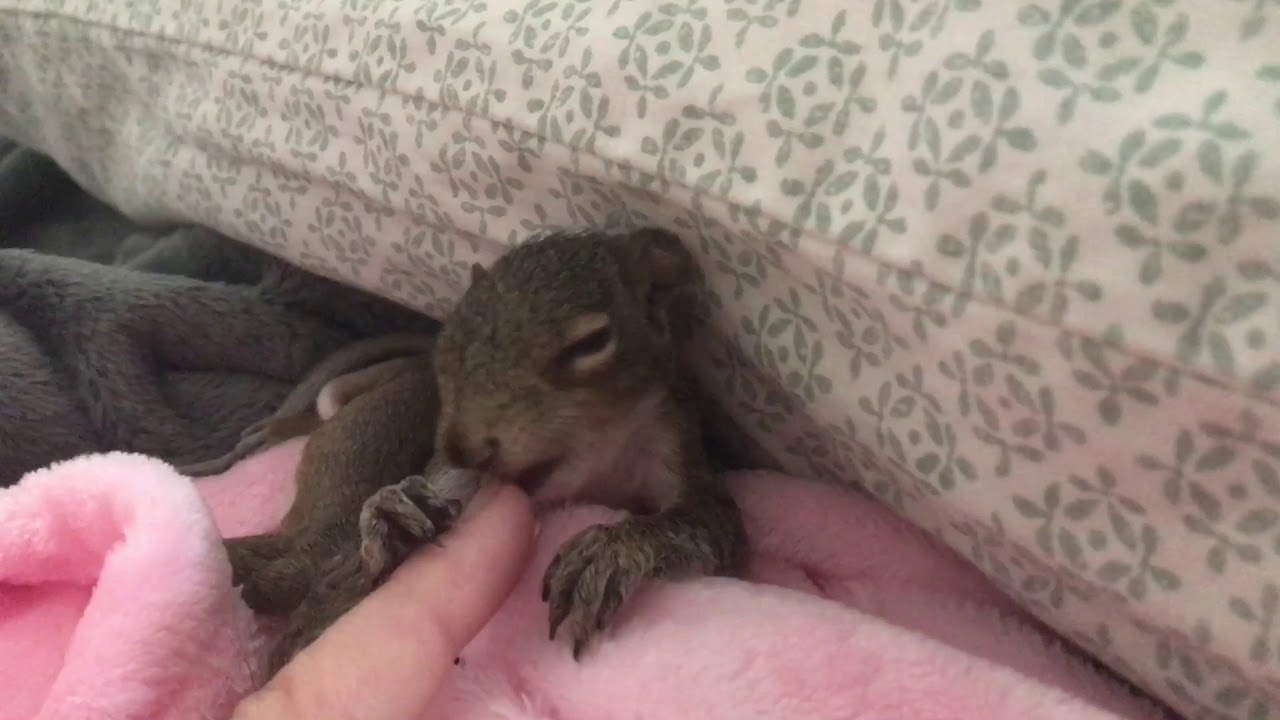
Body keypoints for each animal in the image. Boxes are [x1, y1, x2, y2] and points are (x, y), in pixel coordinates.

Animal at [199, 227, 749, 673]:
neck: (599, 466)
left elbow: (709, 531)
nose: (462, 446)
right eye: (450, 342)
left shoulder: (675, 443)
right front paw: (397, 517)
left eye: (593, 342)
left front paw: (610, 550)